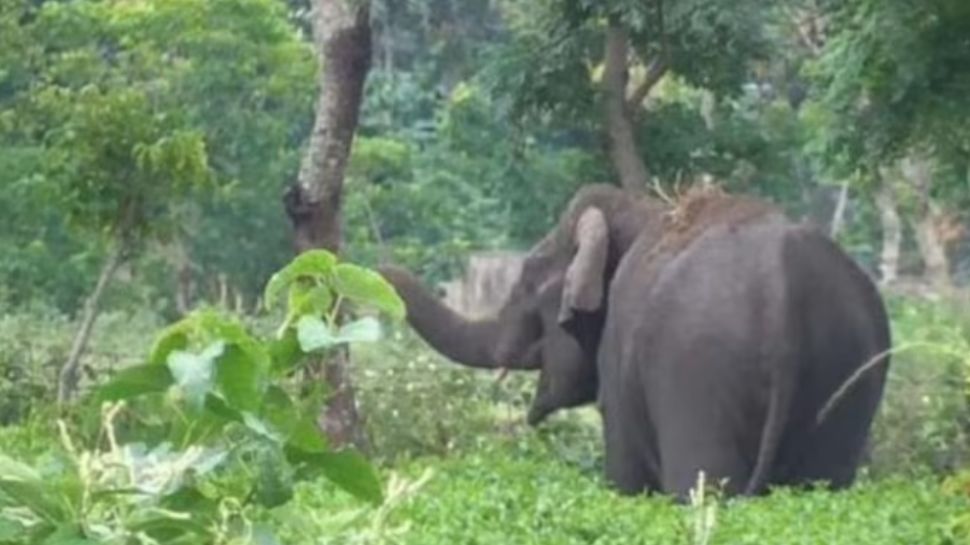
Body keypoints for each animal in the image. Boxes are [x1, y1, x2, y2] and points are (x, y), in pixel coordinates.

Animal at [378, 184, 891, 499]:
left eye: (527, 282)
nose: (378, 267)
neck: (644, 208)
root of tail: (786, 293)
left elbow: (624, 472)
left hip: (697, 373)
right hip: (849, 376)